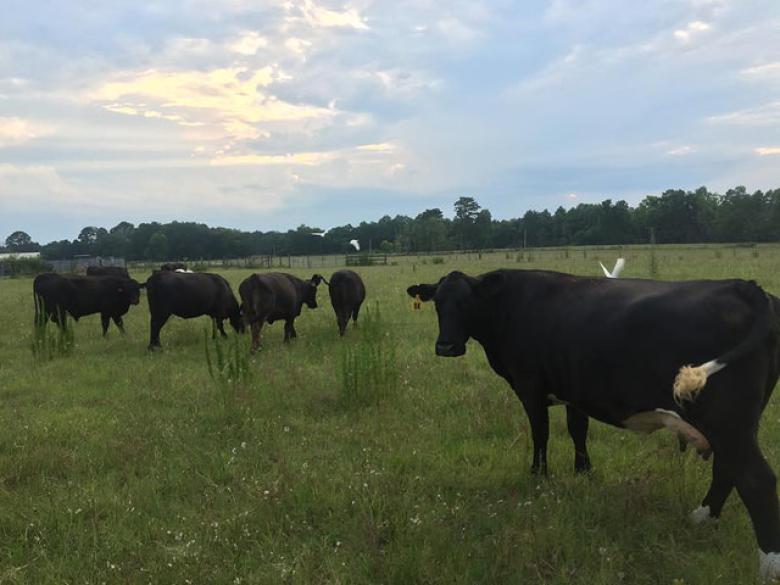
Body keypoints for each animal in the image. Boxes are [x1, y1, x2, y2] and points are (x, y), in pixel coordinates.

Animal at [407, 269, 780, 579]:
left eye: (467, 302)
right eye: (438, 303)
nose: (446, 346)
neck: (510, 305)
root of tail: (746, 286)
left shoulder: (530, 387)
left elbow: (540, 433)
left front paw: (538, 476)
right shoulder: (575, 391)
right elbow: (578, 430)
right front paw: (583, 472)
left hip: (726, 419)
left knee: (755, 479)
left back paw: (769, 563)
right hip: (740, 422)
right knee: (728, 469)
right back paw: (702, 518)